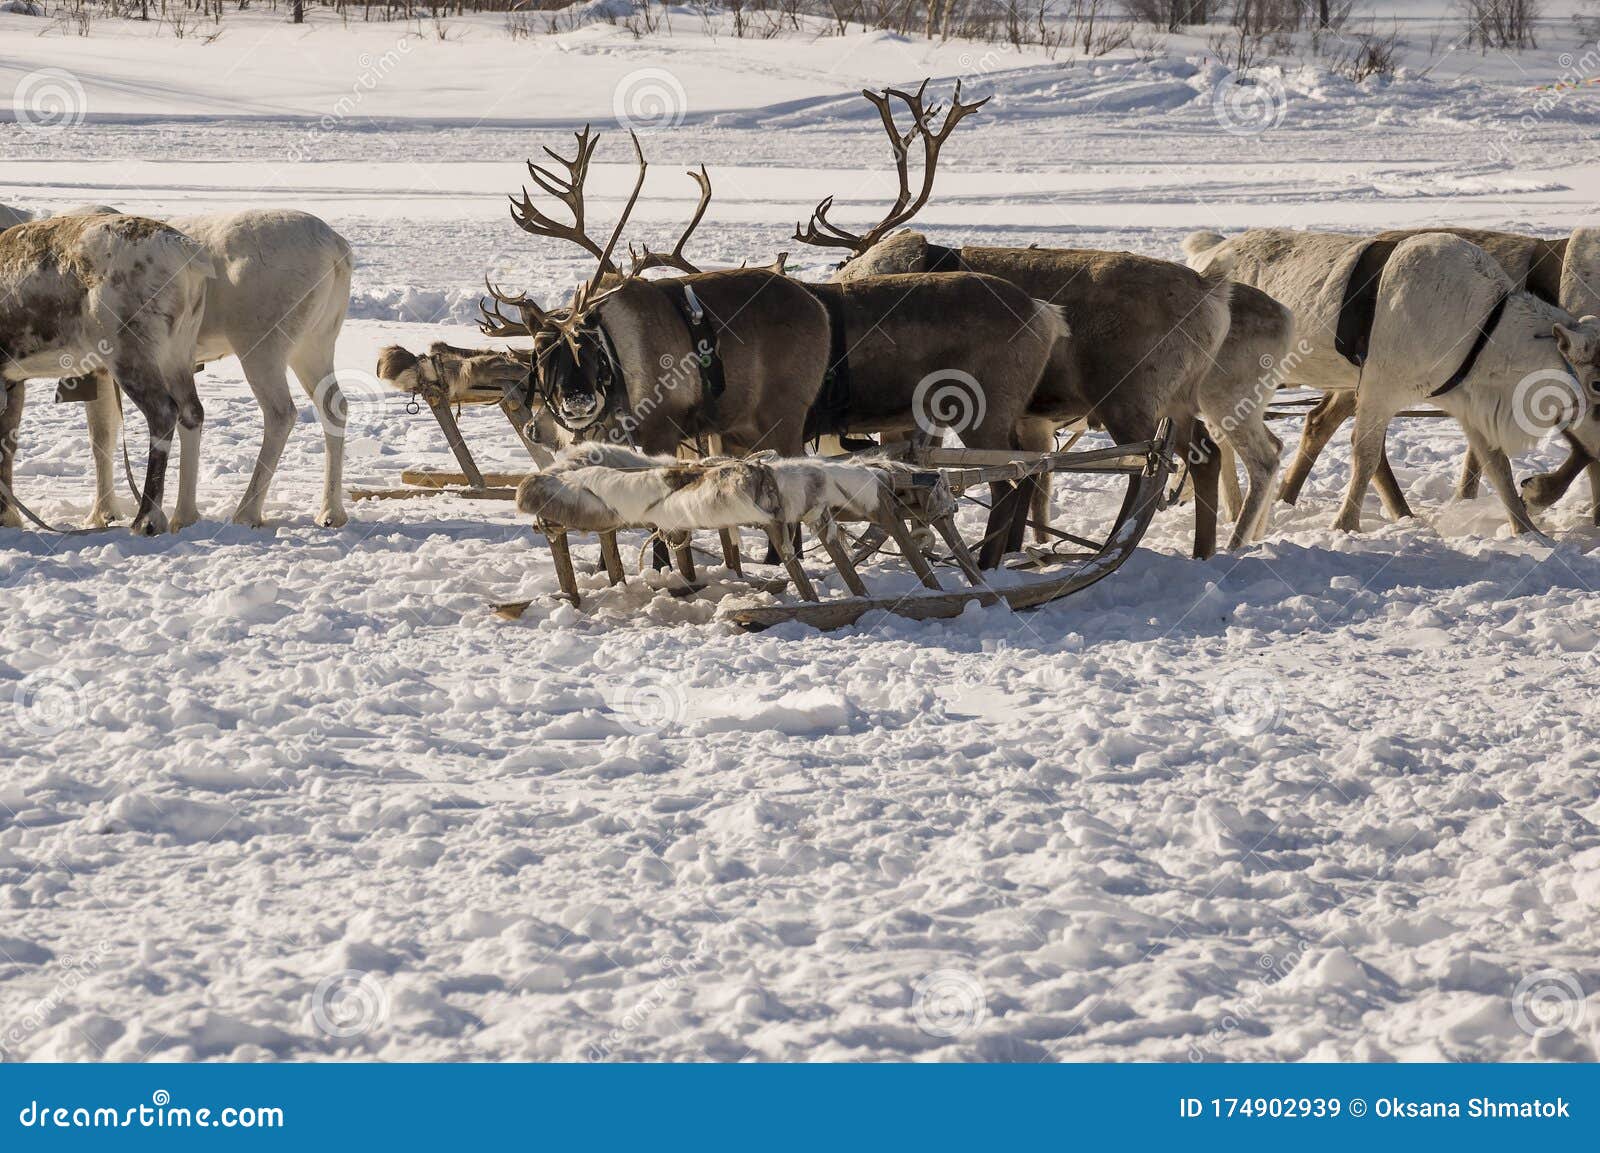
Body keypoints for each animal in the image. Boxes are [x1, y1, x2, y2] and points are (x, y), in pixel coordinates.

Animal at [1, 214, 212, 534]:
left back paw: (147, 519)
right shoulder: (13, 378)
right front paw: (8, 517)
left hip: (129, 352)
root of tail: (184, 252)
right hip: (178, 353)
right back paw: (184, 516)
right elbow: (7, 445)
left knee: (163, 412)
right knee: (192, 412)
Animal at [797, 82, 1277, 558]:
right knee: (1206, 456)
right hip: (1179, 396)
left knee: (1147, 468)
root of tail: (1212, 292)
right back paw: (1202, 552)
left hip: (1132, 396)